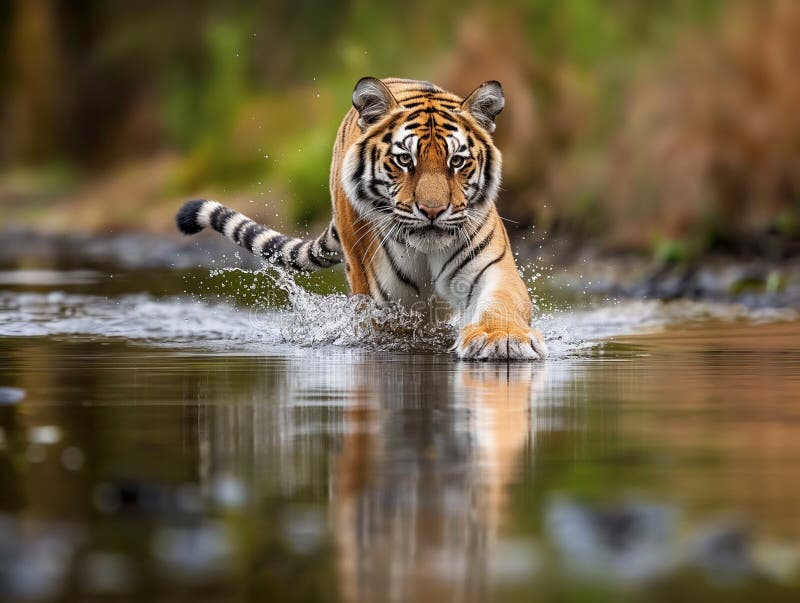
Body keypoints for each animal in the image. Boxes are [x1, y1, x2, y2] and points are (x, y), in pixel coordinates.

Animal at [176, 77, 547, 361]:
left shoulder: (491, 268)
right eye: (404, 160)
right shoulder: (386, 304)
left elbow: (501, 304)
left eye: (457, 161)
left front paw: (502, 340)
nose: (432, 211)